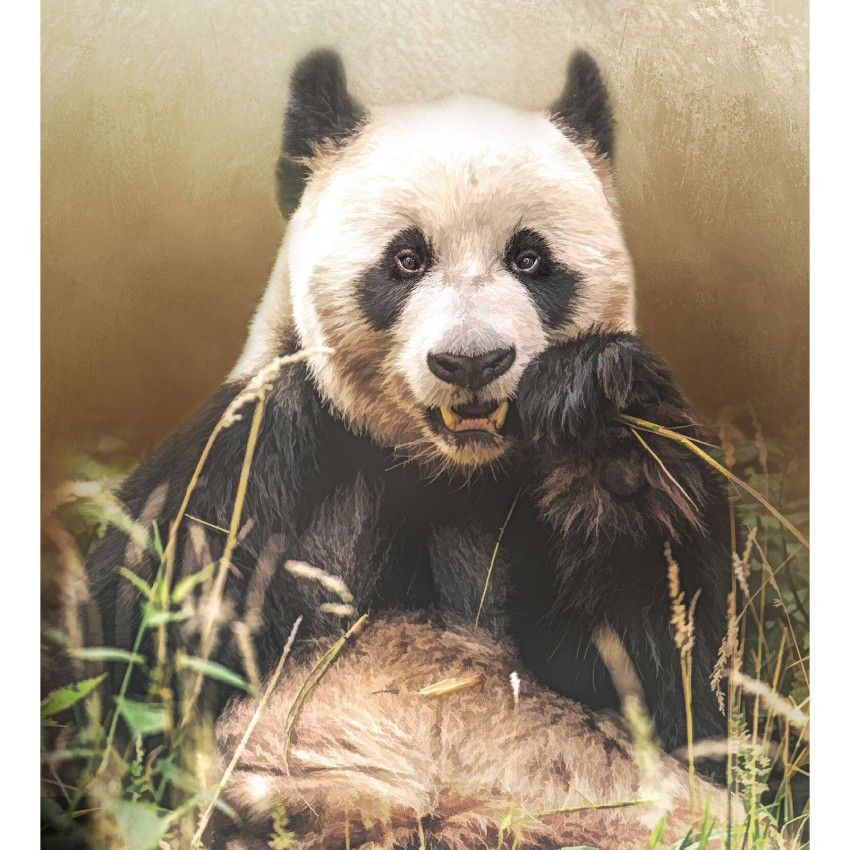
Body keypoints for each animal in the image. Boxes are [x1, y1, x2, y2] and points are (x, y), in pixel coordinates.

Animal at [86, 48, 732, 764]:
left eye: (529, 257)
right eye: (406, 258)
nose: (472, 361)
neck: (445, 471)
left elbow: (663, 669)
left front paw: (598, 419)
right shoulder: (252, 465)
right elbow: (141, 639)